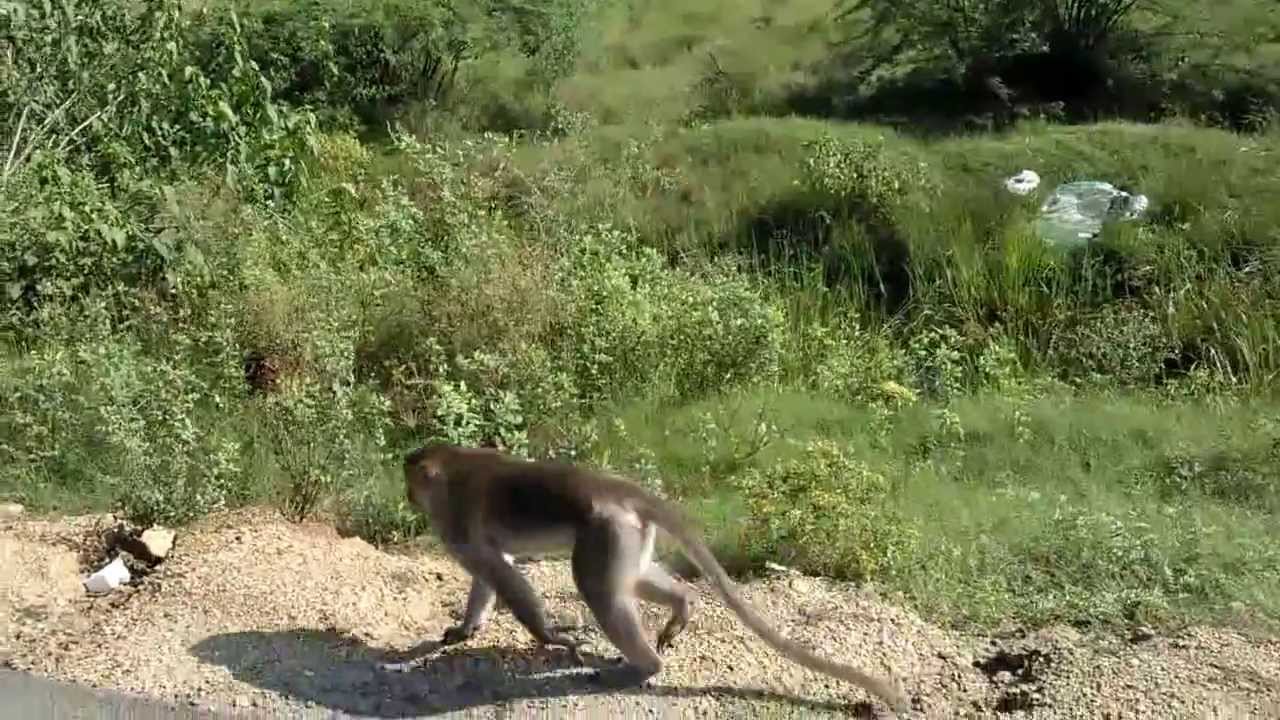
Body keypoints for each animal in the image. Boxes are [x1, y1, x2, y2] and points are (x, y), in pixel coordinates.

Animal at [401, 442, 912, 714]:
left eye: (410, 479)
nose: (406, 496)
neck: (454, 466)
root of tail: (617, 488)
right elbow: (492, 573)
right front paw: (466, 628)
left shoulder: (455, 526)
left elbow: (499, 573)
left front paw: (551, 638)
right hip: (627, 533)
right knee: (626, 582)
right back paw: (683, 606)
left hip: (606, 530)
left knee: (599, 589)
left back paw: (644, 666)